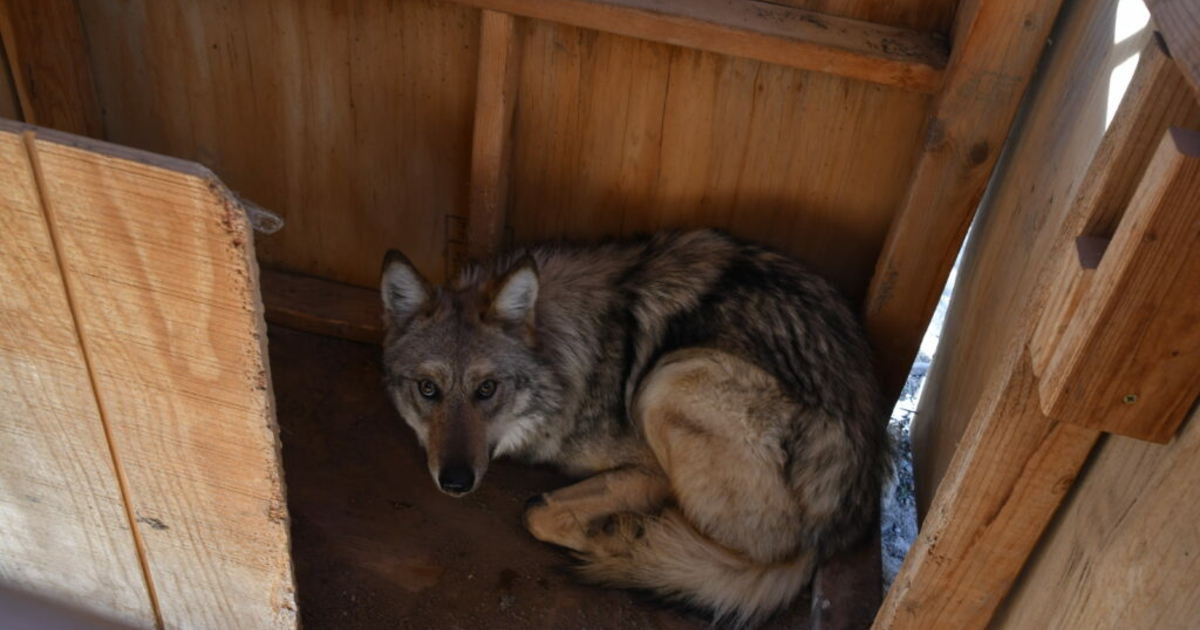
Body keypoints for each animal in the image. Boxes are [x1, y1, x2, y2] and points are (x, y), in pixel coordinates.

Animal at [380, 229, 890, 625]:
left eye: (486, 389)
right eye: (428, 389)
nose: (456, 481)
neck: (569, 354)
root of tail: (834, 531)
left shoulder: (651, 468)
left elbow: (537, 513)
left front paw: (606, 526)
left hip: (670, 381)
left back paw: (624, 537)